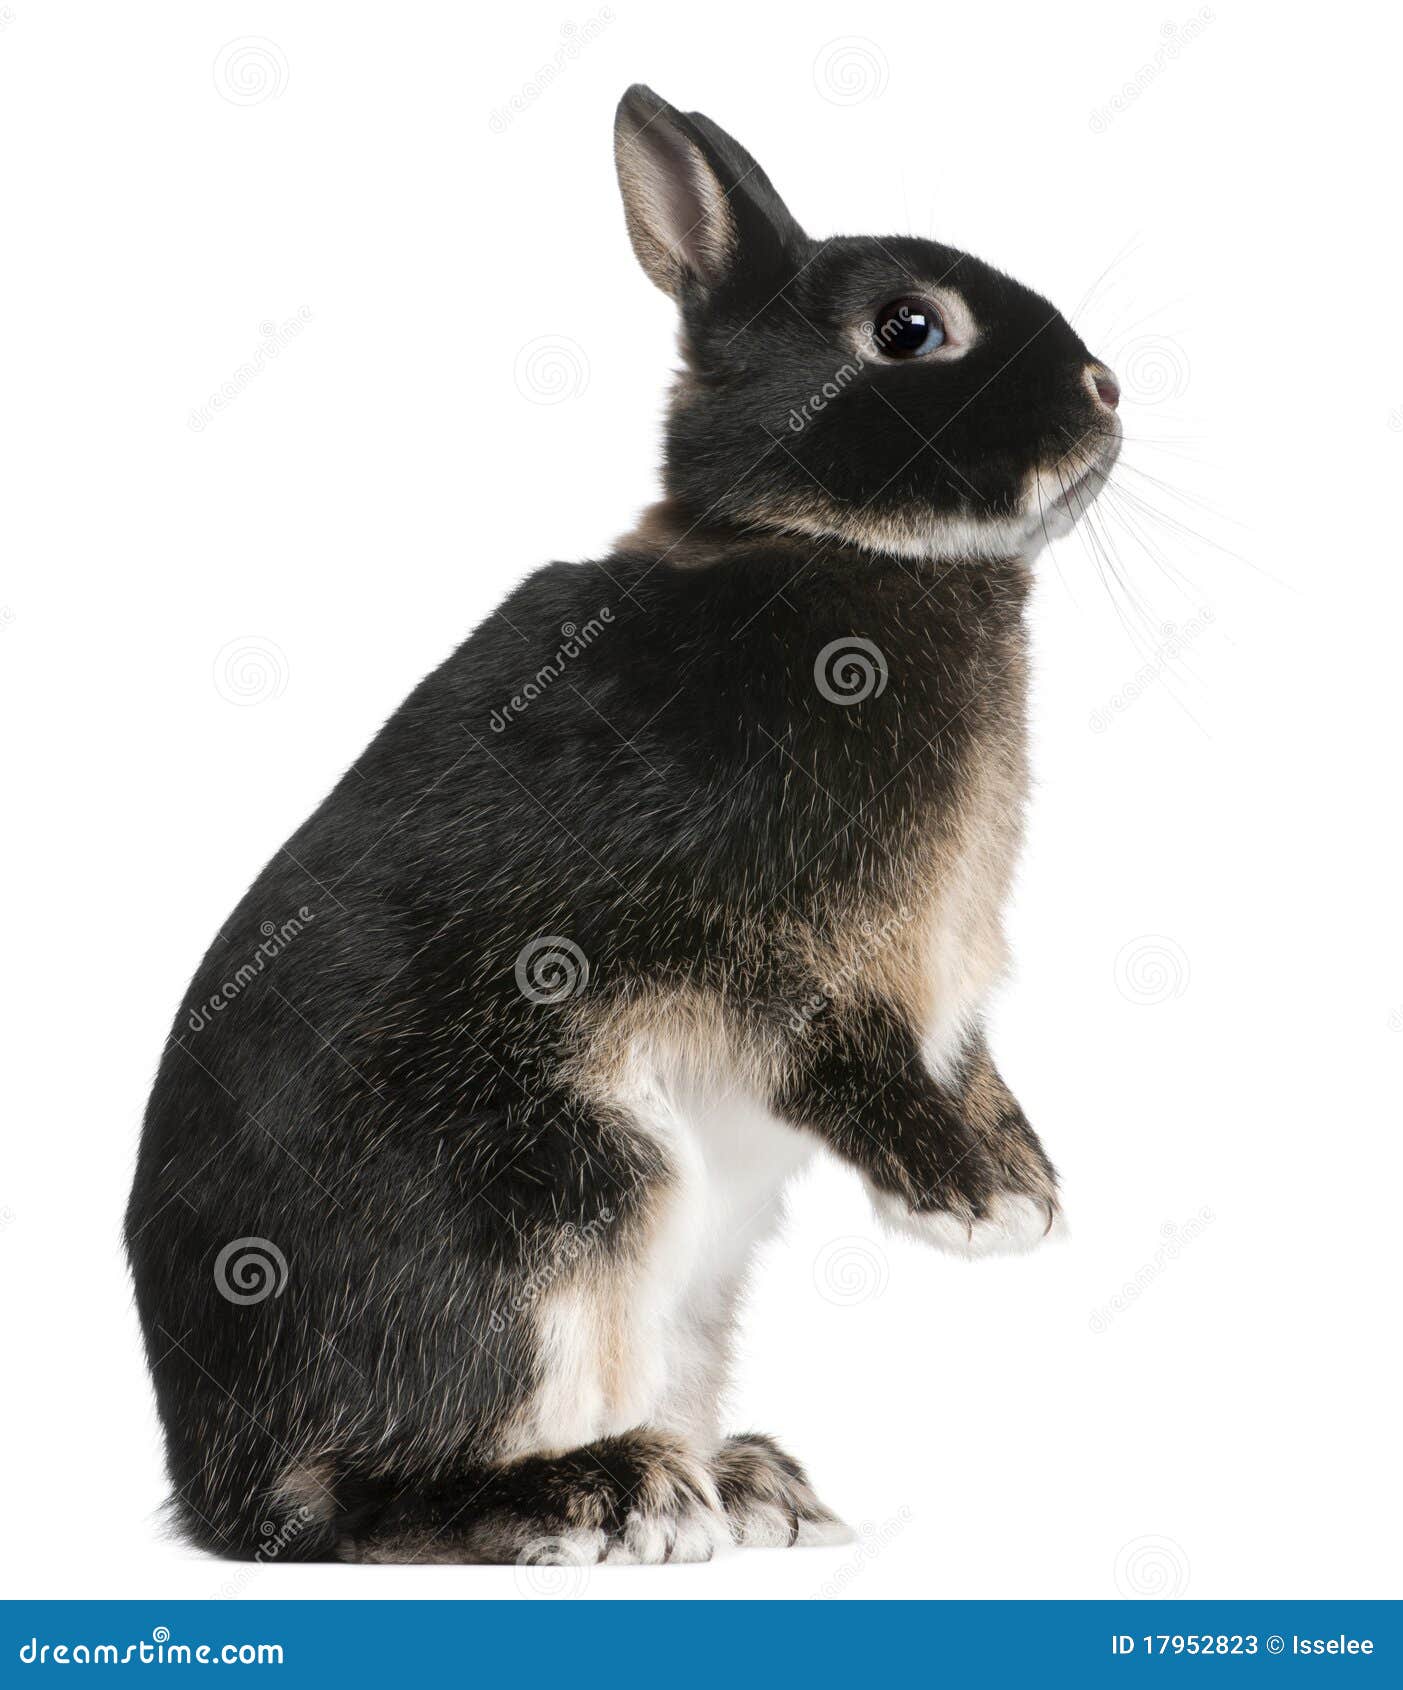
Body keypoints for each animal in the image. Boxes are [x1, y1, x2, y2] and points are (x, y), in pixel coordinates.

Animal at [125, 83, 1121, 1566]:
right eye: (905, 328)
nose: (1105, 391)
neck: (817, 544)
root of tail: (207, 1474)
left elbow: (968, 1059)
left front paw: (1022, 1172)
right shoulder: (751, 946)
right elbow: (833, 1049)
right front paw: (974, 1204)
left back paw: (747, 1481)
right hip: (557, 1187)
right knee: (351, 1499)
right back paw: (606, 1490)